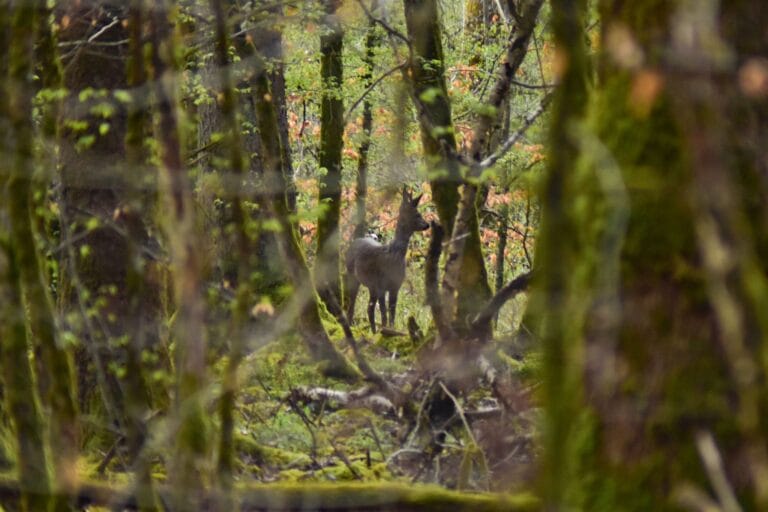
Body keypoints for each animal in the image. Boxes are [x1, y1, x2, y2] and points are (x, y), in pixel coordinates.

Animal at [344, 187, 430, 333]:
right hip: (353, 276)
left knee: (369, 309)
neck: (393, 256)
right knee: (352, 305)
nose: (427, 225)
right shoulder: (381, 286)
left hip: (371, 286)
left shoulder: (395, 286)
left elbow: (392, 315)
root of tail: (356, 240)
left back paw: (373, 331)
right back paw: (352, 326)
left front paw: (390, 331)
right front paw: (385, 331)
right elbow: (384, 315)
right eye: (416, 214)